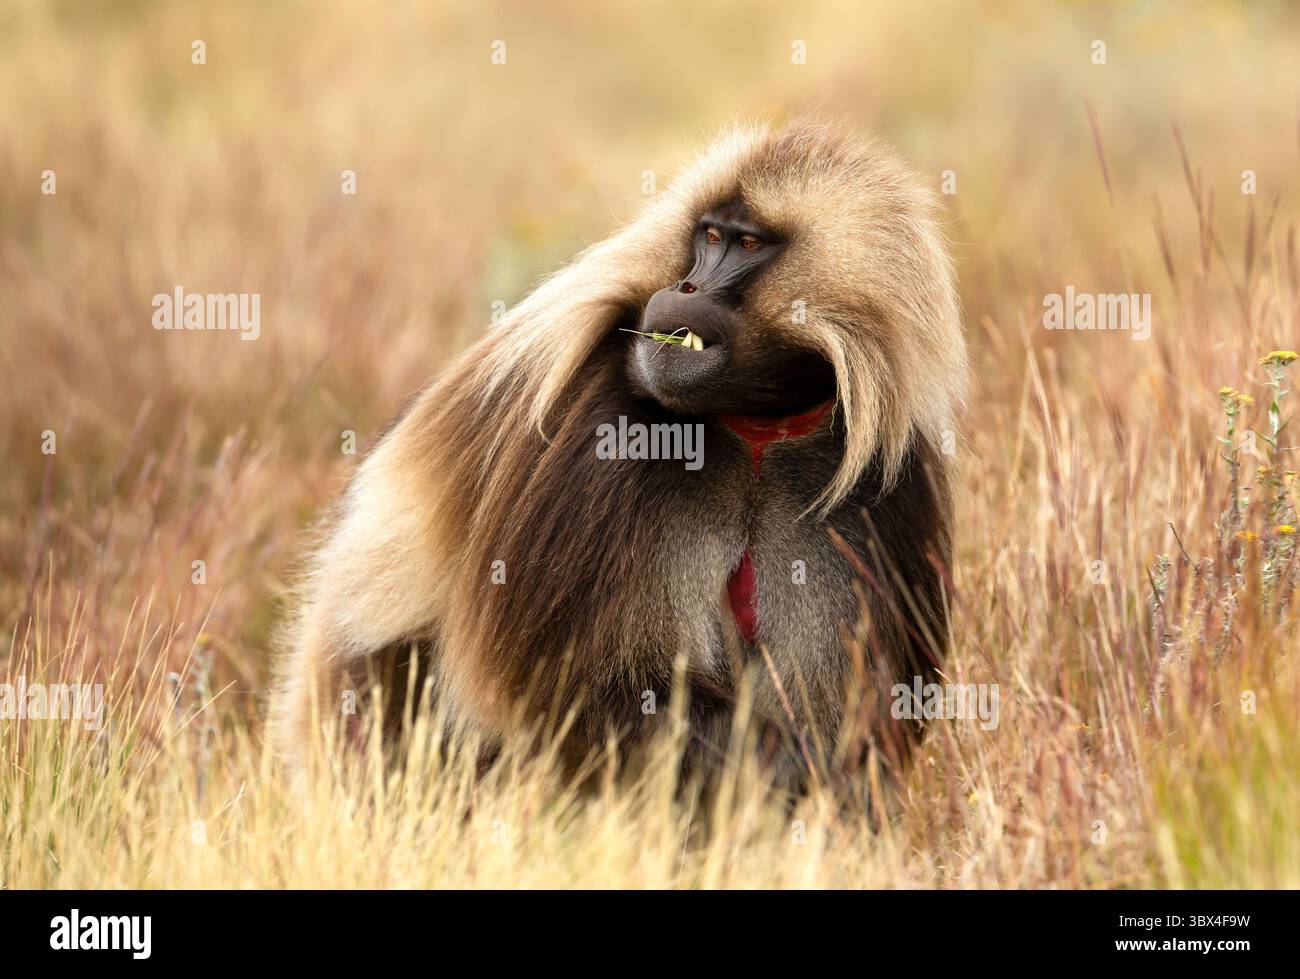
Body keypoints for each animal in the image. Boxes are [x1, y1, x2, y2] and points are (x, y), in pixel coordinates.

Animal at [269, 121, 968, 792]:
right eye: (708, 235)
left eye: (746, 246)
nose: (684, 286)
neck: (756, 430)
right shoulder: (597, 435)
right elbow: (582, 695)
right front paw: (798, 769)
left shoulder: (888, 483)